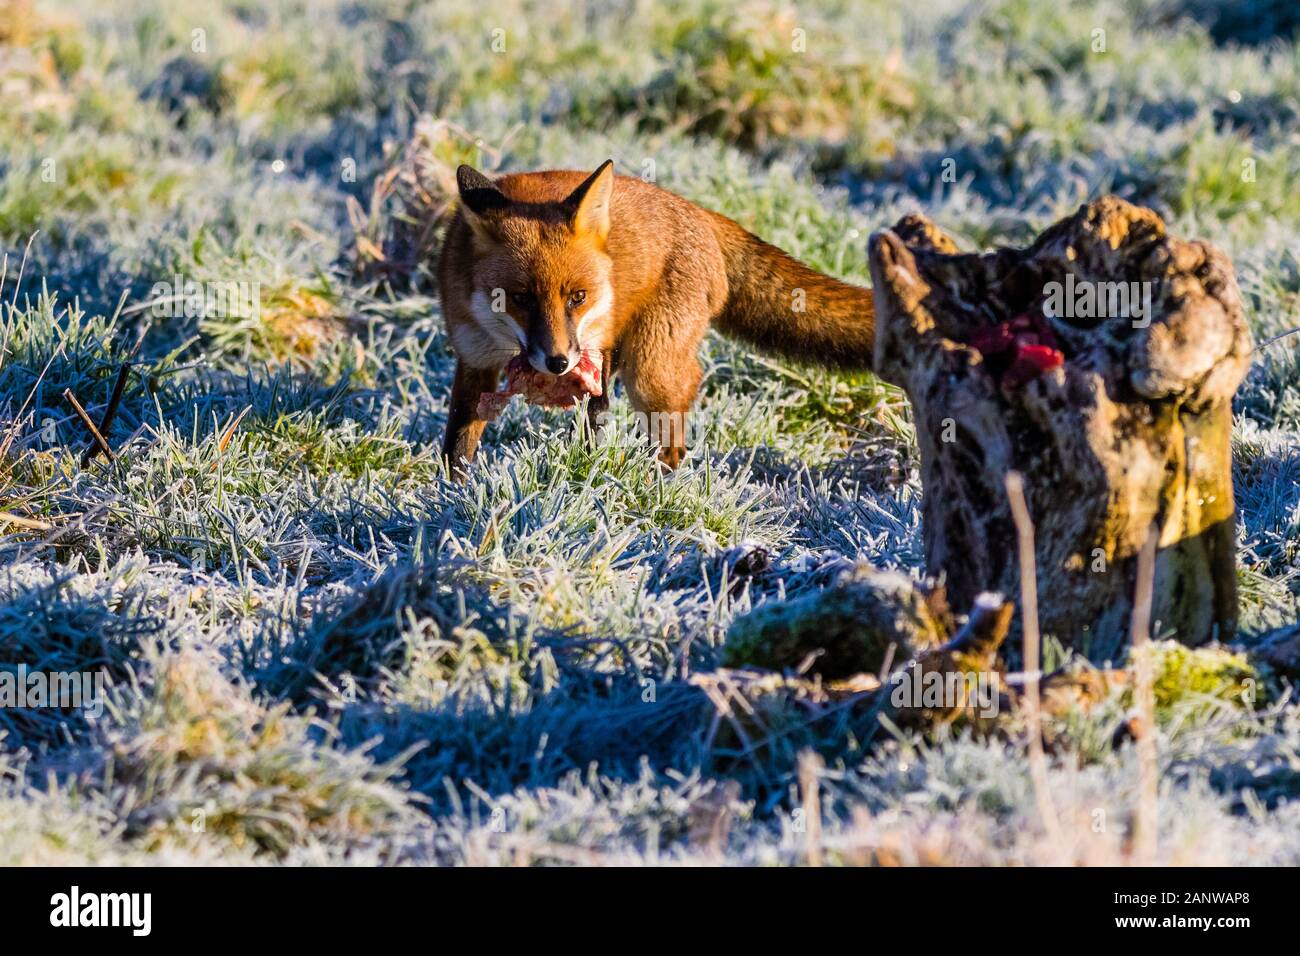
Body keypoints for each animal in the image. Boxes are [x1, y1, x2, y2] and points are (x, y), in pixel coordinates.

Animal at [439, 159, 875, 470]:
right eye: (520, 298)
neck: (505, 340)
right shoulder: (475, 357)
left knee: (675, 411)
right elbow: (457, 441)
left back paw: (658, 484)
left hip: (650, 369)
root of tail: (701, 212)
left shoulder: (595, 345)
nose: (558, 362)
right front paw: (452, 494)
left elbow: (598, 413)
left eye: (578, 297)